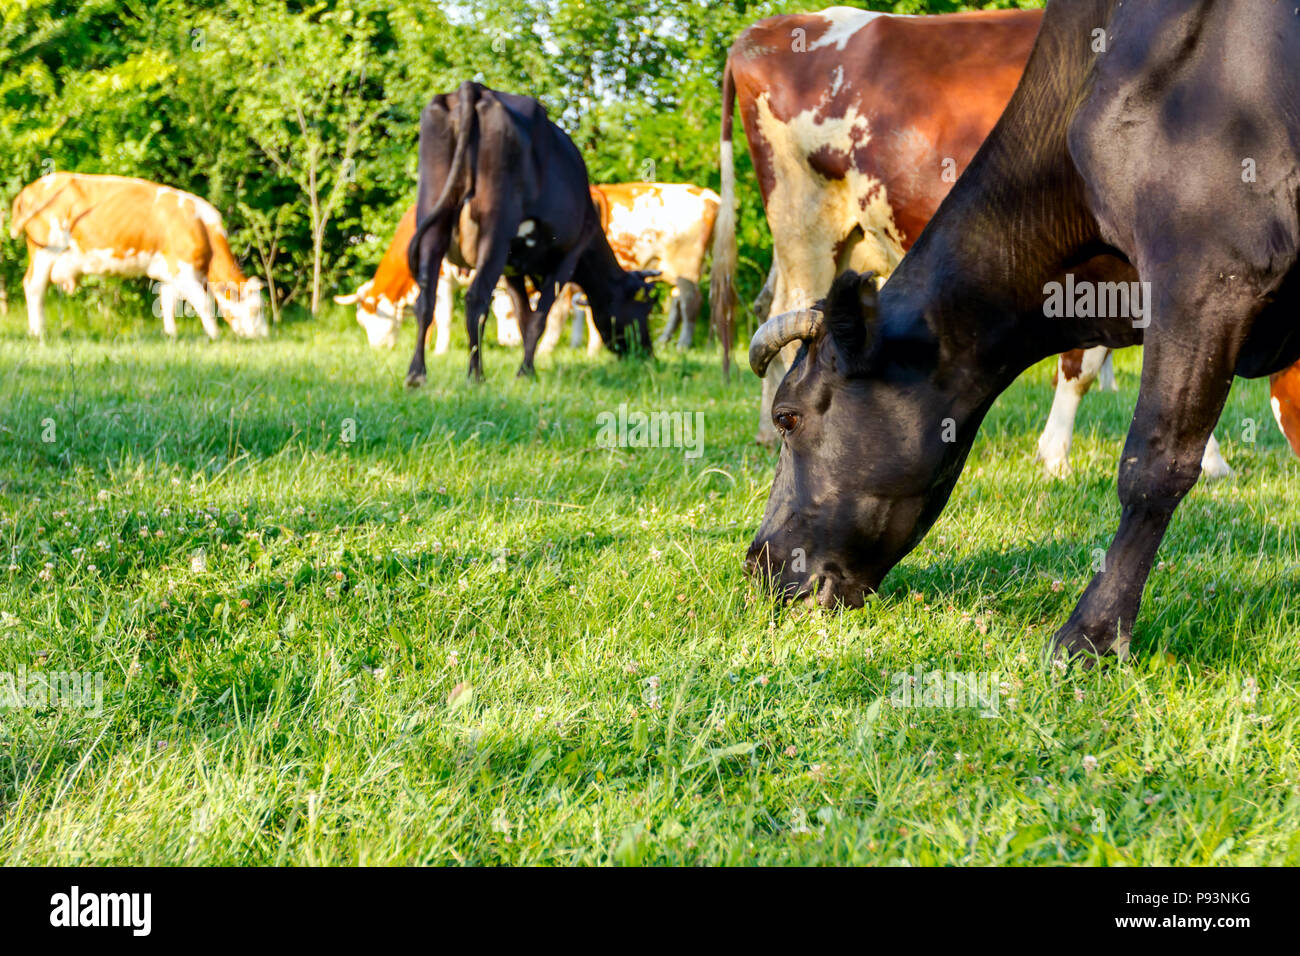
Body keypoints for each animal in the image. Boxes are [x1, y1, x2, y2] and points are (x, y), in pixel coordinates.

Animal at [9, 173, 265, 339]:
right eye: (254, 309)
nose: (263, 335)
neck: (201, 227)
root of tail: (30, 188)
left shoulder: (170, 270)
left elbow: (167, 299)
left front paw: (171, 334)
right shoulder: (183, 268)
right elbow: (203, 302)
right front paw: (214, 335)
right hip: (45, 251)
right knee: (34, 287)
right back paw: (38, 331)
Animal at [405, 82, 657, 385]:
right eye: (644, 308)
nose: (647, 352)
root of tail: (476, 87)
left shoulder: (512, 267)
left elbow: (524, 318)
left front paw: (527, 368)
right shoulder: (568, 256)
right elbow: (539, 318)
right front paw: (525, 372)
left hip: (433, 217)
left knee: (425, 300)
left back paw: (416, 375)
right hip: (495, 229)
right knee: (476, 299)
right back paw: (476, 376)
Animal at [745, 0, 1300, 662]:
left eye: (792, 418)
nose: (756, 564)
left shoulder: (1208, 267)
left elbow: (1151, 466)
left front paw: (1090, 637)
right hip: (805, 223)